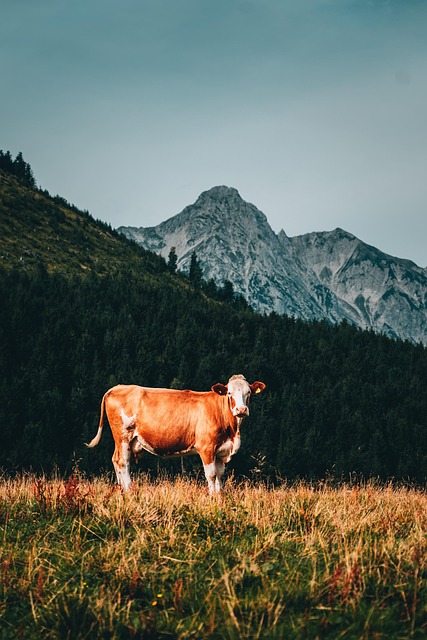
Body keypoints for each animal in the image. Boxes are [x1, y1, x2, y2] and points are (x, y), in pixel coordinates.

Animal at [86, 374, 266, 493]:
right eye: (229, 393)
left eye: (248, 392)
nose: (241, 410)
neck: (232, 431)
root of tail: (117, 387)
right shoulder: (206, 447)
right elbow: (212, 475)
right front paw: (212, 499)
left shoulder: (221, 451)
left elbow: (220, 476)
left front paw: (219, 498)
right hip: (123, 435)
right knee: (123, 462)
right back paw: (129, 491)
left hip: (127, 440)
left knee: (116, 460)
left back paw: (121, 490)